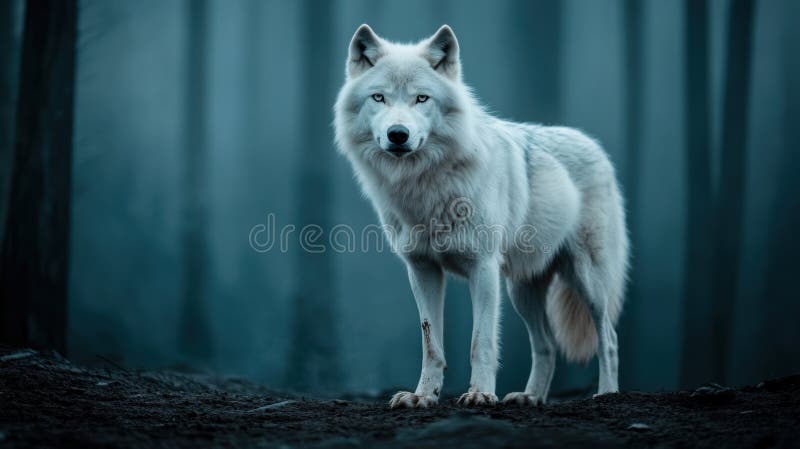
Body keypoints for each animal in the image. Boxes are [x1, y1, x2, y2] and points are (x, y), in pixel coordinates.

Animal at [334, 24, 629, 408]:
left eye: (422, 99)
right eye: (379, 98)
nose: (398, 134)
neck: (425, 185)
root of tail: (593, 145)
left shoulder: (483, 268)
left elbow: (481, 342)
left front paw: (481, 394)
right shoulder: (422, 270)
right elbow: (431, 344)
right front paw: (423, 396)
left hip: (587, 280)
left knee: (608, 338)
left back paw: (606, 394)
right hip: (521, 290)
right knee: (546, 345)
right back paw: (530, 397)